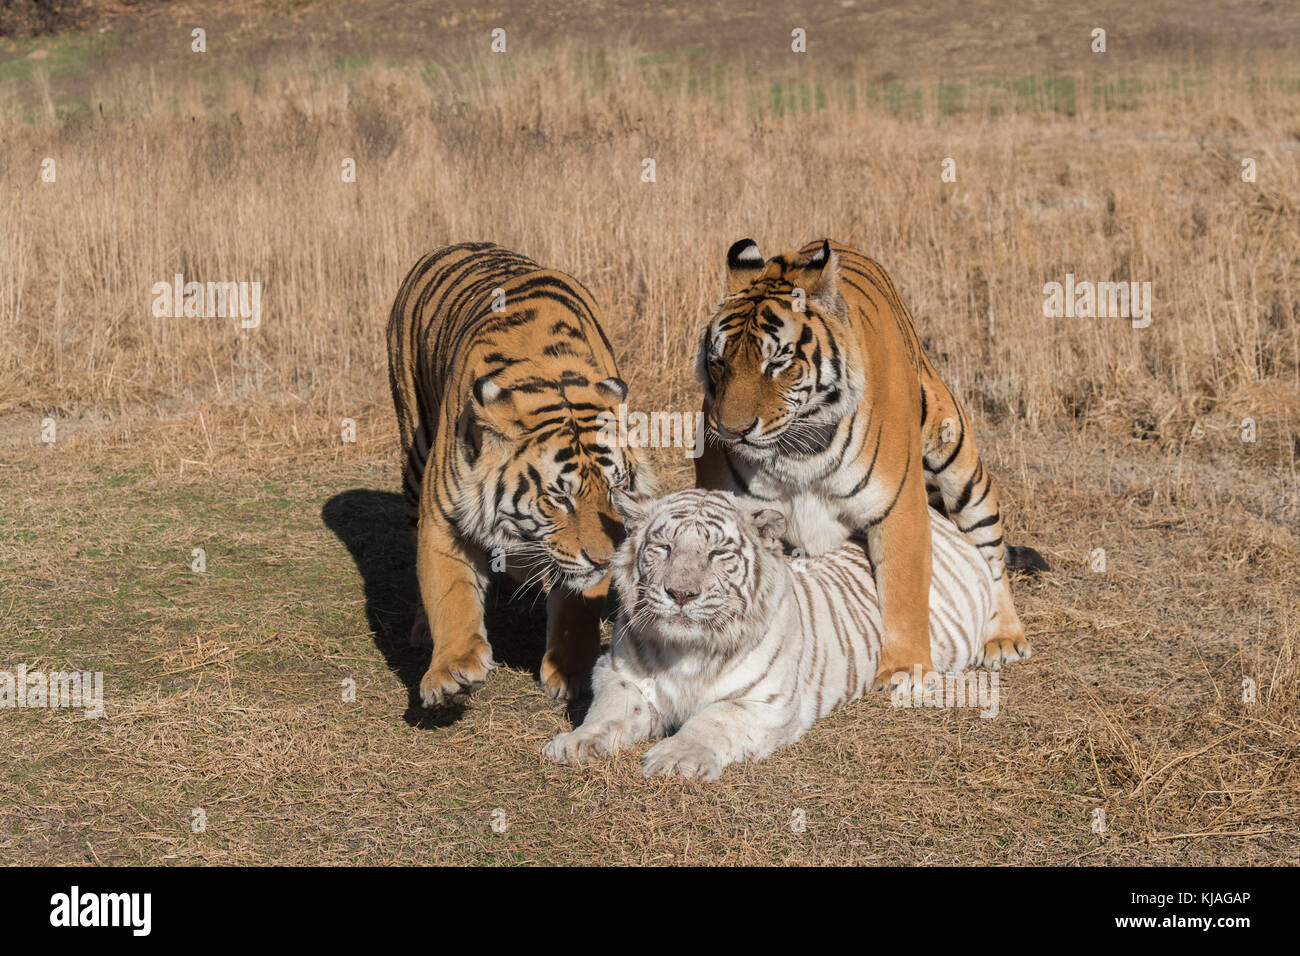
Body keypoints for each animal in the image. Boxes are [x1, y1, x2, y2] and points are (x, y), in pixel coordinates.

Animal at [386, 242, 647, 706]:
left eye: (615, 488)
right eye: (560, 498)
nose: (604, 559)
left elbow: (578, 606)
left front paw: (570, 673)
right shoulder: (443, 516)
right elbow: (450, 594)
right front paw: (451, 672)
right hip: (413, 446)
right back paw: (422, 631)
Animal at [542, 488, 1005, 780]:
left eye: (718, 553)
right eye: (664, 548)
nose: (681, 594)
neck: (687, 648)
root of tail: (937, 517)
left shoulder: (763, 701)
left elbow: (710, 721)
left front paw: (675, 760)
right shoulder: (619, 675)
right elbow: (607, 713)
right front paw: (575, 744)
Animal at [694, 237, 1046, 694]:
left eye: (777, 364)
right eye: (719, 363)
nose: (730, 430)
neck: (797, 450)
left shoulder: (898, 508)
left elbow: (904, 591)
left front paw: (906, 671)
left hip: (960, 465)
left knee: (991, 554)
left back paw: (1002, 636)